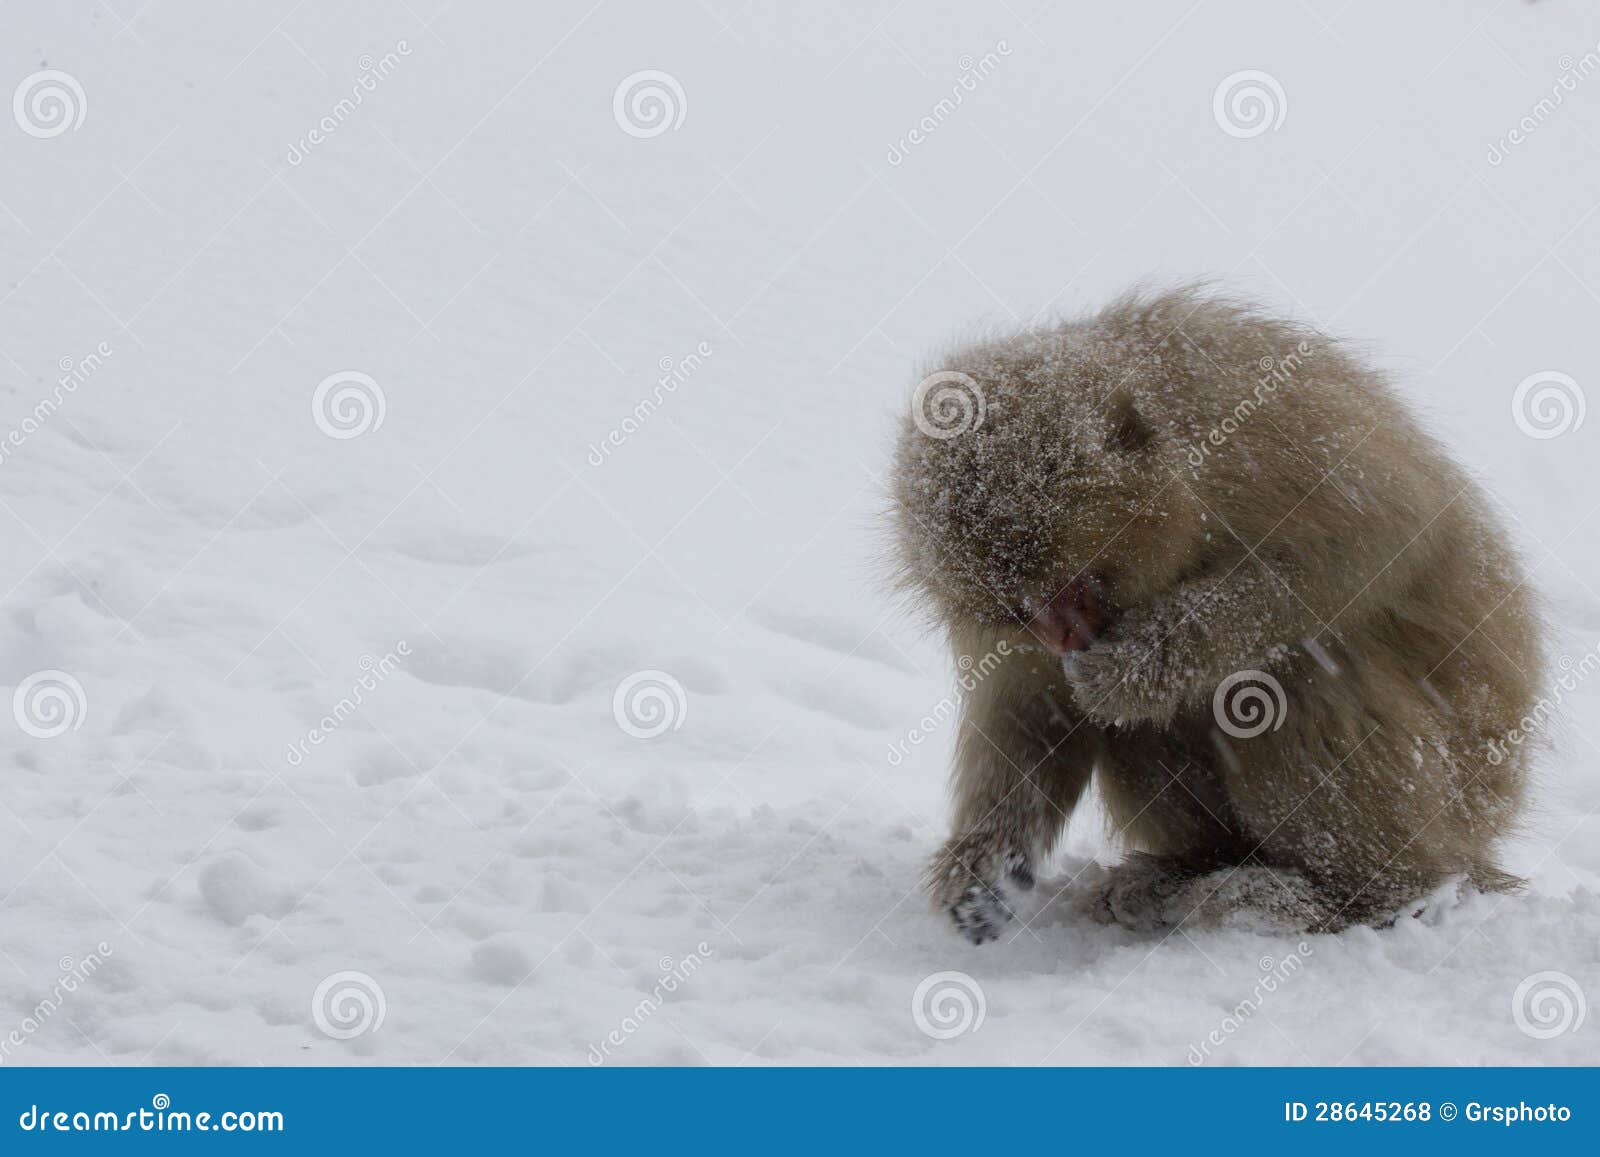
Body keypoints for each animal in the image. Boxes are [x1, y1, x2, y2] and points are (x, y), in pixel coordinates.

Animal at [888, 286, 1543, 943]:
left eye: (1072, 586)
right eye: (1020, 611)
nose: (1065, 636)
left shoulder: (1257, 426)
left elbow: (1365, 547)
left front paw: (1140, 661)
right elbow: (1034, 707)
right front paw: (985, 862)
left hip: (1459, 799)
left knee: (1300, 674)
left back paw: (1348, 897)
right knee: (1139, 731)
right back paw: (1183, 873)